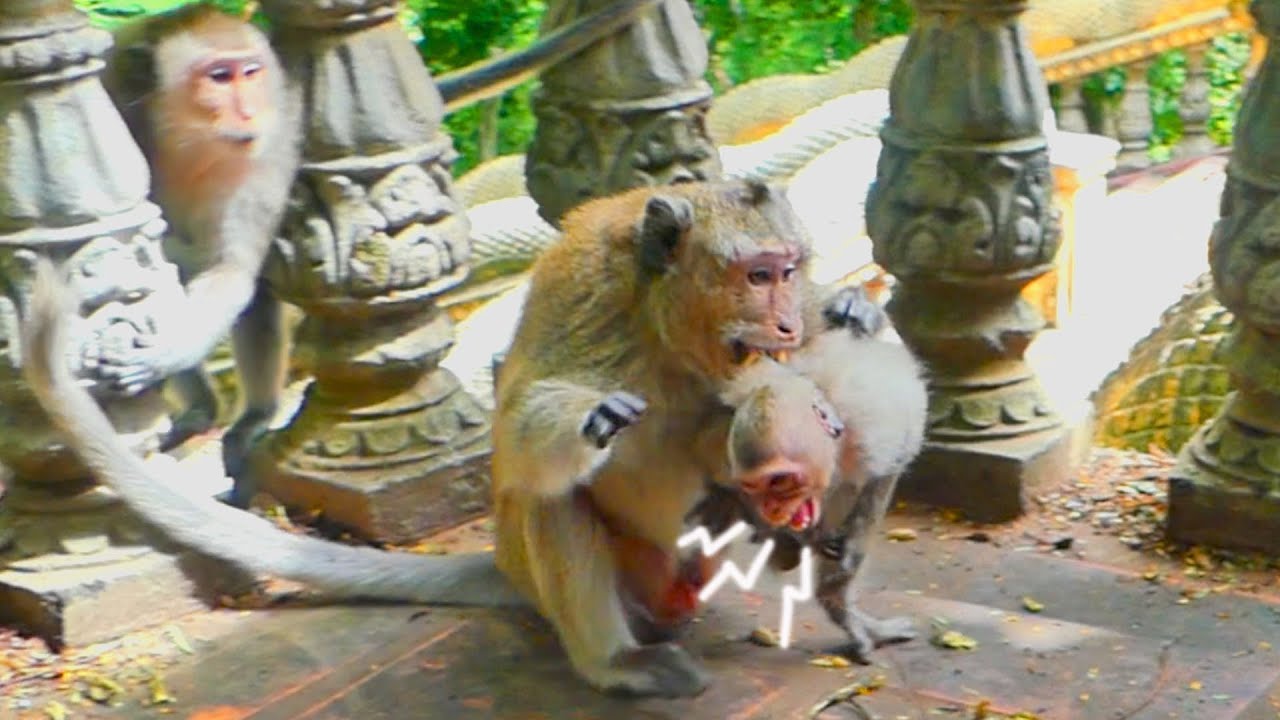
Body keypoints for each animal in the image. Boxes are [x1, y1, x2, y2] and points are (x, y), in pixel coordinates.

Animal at [93, 3, 300, 500]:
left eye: (250, 72)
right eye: (219, 77)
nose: (249, 112)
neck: (186, 138)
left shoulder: (265, 152)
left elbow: (231, 271)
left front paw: (165, 353)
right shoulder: (113, 93)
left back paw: (254, 415)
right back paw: (202, 407)